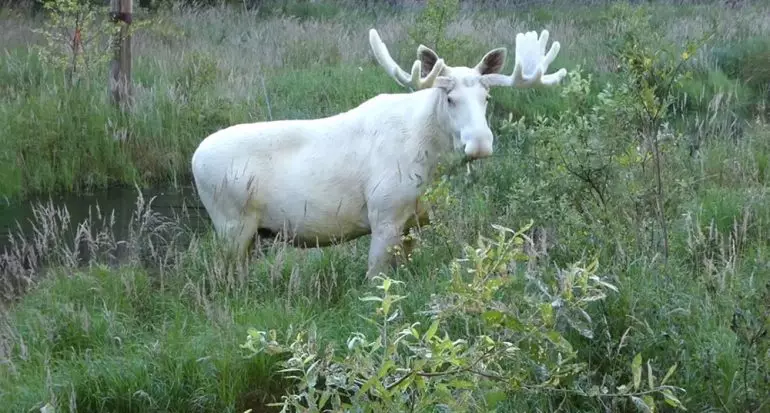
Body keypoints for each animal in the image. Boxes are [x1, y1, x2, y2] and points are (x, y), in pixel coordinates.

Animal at [190, 27, 564, 278]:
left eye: (487, 98)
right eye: (449, 98)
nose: (481, 143)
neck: (430, 162)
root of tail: (194, 159)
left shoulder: (413, 222)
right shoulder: (383, 214)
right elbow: (375, 279)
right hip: (230, 224)